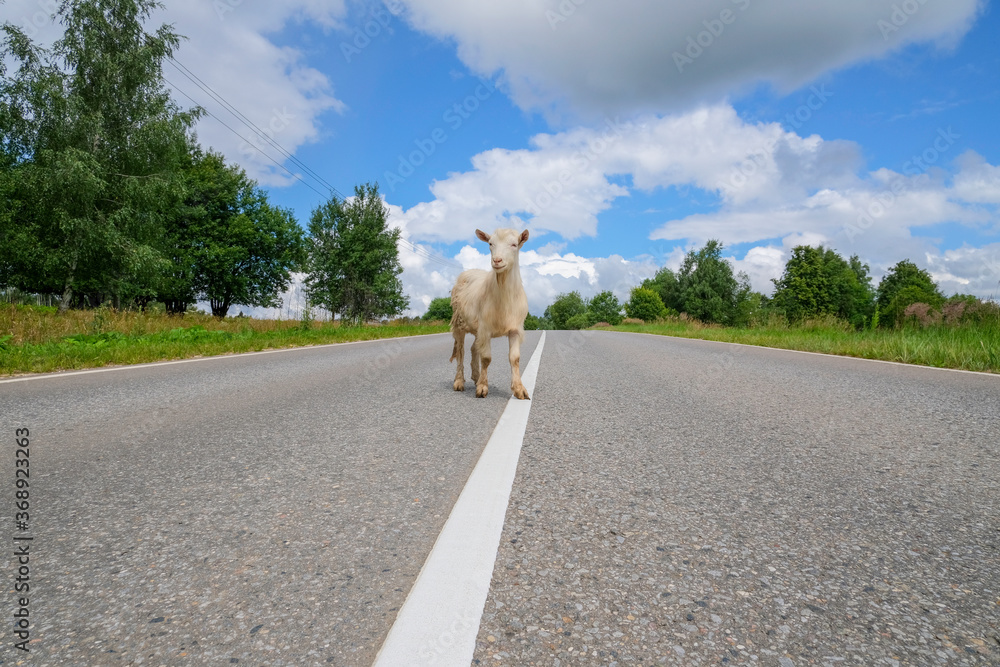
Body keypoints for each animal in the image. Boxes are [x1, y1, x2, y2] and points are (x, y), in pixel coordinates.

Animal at [449, 228, 530, 399]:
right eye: (490, 244)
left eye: (514, 244)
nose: (497, 260)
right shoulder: (485, 328)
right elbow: (486, 358)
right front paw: (482, 388)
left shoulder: (515, 328)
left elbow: (515, 358)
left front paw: (519, 389)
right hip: (459, 323)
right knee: (461, 351)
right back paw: (459, 382)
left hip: (476, 328)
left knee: (473, 348)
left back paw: (475, 376)